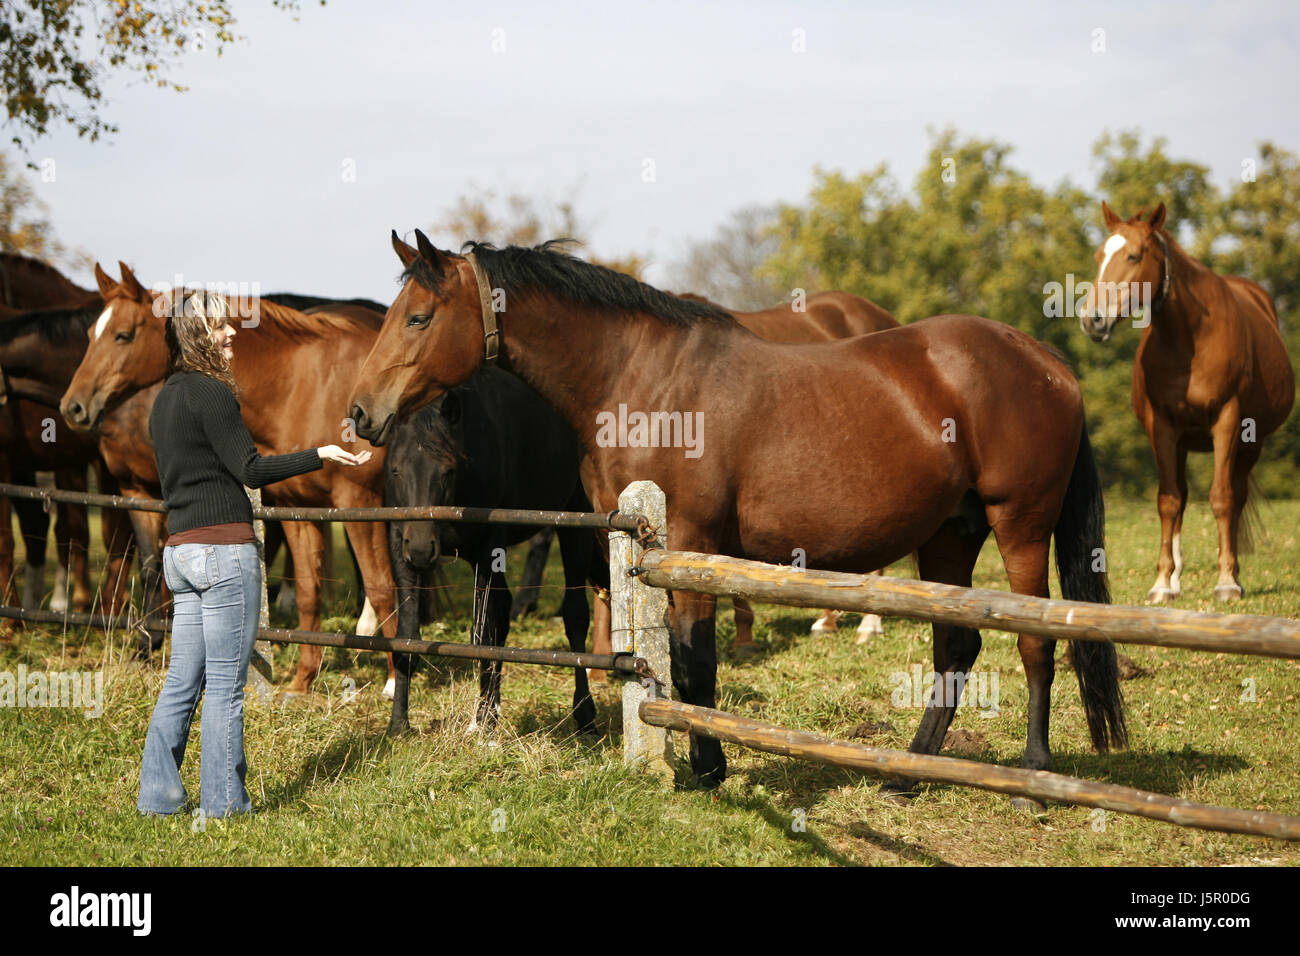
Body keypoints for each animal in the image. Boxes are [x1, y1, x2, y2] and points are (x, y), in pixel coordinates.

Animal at [384, 366, 609, 736]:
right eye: (395, 470)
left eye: (447, 471)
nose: (420, 548)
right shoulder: (400, 547)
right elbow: (406, 638)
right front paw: (398, 724)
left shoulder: (489, 547)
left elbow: (486, 632)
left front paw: (486, 723)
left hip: (574, 522)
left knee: (575, 615)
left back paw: (585, 715)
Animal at [1079, 202, 1295, 603]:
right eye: (1100, 256)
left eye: (1134, 255)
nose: (1093, 320)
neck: (1190, 338)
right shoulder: (1163, 426)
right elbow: (1169, 501)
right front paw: (1163, 583)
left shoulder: (1228, 420)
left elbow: (1222, 498)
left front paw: (1226, 582)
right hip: (1181, 443)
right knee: (1180, 497)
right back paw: (1176, 578)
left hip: (1252, 442)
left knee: (1237, 496)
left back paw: (1233, 573)